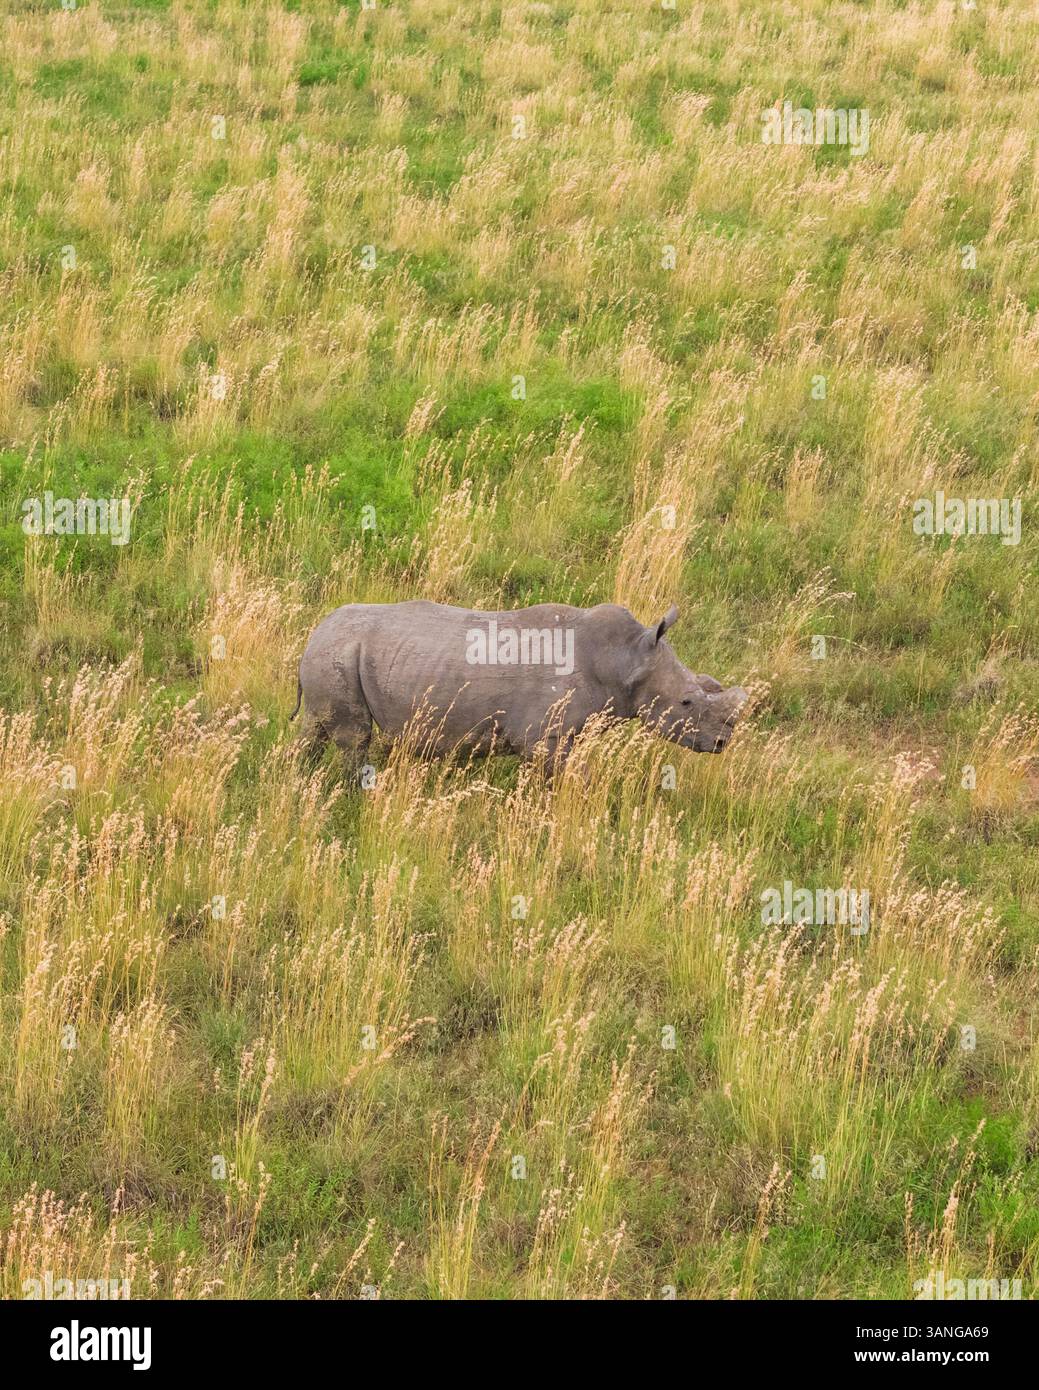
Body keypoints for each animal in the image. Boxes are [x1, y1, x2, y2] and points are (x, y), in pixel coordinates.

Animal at [291, 600, 748, 775]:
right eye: (685, 702)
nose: (723, 743)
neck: (625, 658)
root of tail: (314, 633)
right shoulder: (541, 738)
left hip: (335, 652)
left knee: (314, 728)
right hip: (336, 654)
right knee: (354, 738)